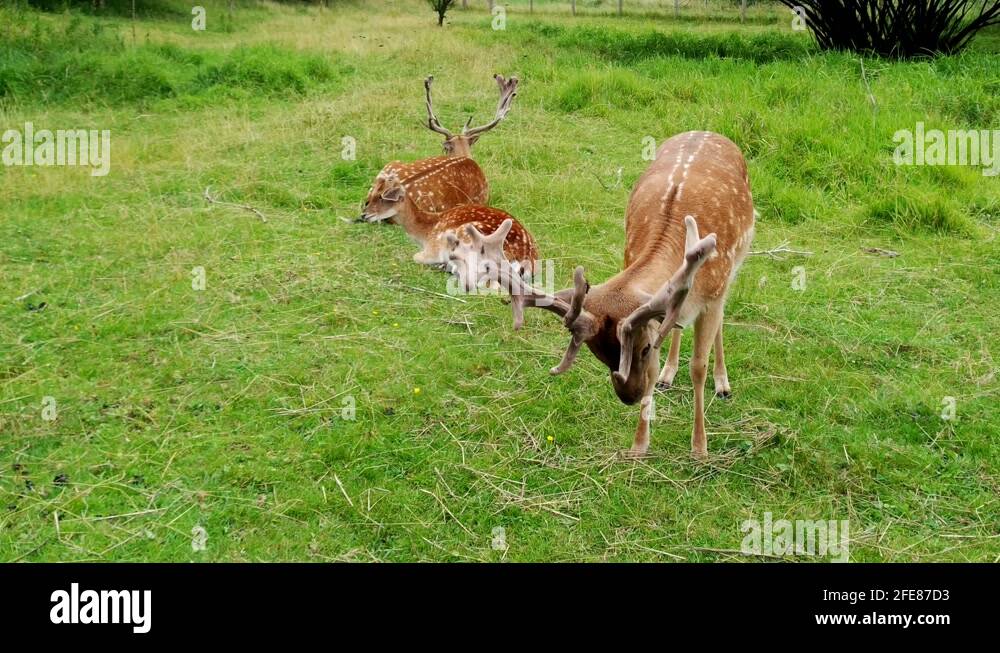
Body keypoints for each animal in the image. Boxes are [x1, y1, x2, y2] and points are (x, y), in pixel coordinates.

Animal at [486, 131, 755, 458]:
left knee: (720, 322)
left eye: (643, 348)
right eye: (598, 354)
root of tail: (708, 132)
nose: (628, 396)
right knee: (679, 323)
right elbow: (658, 360)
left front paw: (700, 448)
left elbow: (698, 367)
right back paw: (668, 375)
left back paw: (723, 384)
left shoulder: (713, 291)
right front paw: (639, 445)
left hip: (735, 264)